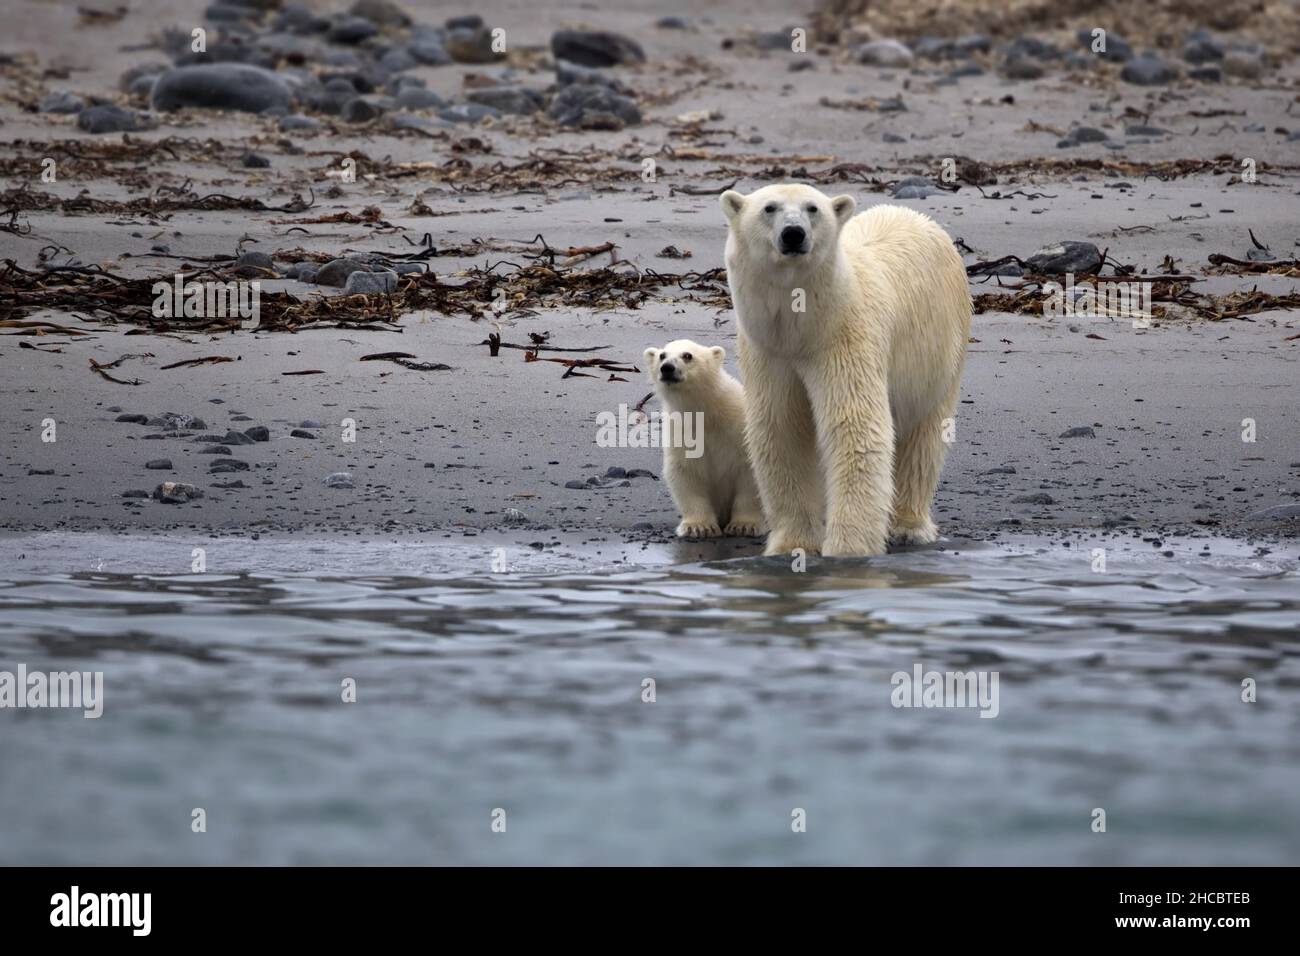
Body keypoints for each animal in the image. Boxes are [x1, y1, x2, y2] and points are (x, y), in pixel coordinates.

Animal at [643, 339, 765, 539]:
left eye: (687, 355)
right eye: (662, 355)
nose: (667, 368)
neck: (709, 415)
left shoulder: (741, 434)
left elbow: (751, 478)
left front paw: (744, 525)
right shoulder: (682, 434)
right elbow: (685, 474)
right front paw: (699, 527)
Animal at [719, 183, 971, 557]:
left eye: (813, 208)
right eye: (769, 208)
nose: (793, 234)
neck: (804, 328)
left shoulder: (845, 337)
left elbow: (853, 425)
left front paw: (847, 548)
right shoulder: (768, 351)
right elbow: (781, 428)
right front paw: (792, 544)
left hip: (941, 350)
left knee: (924, 435)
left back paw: (908, 527)